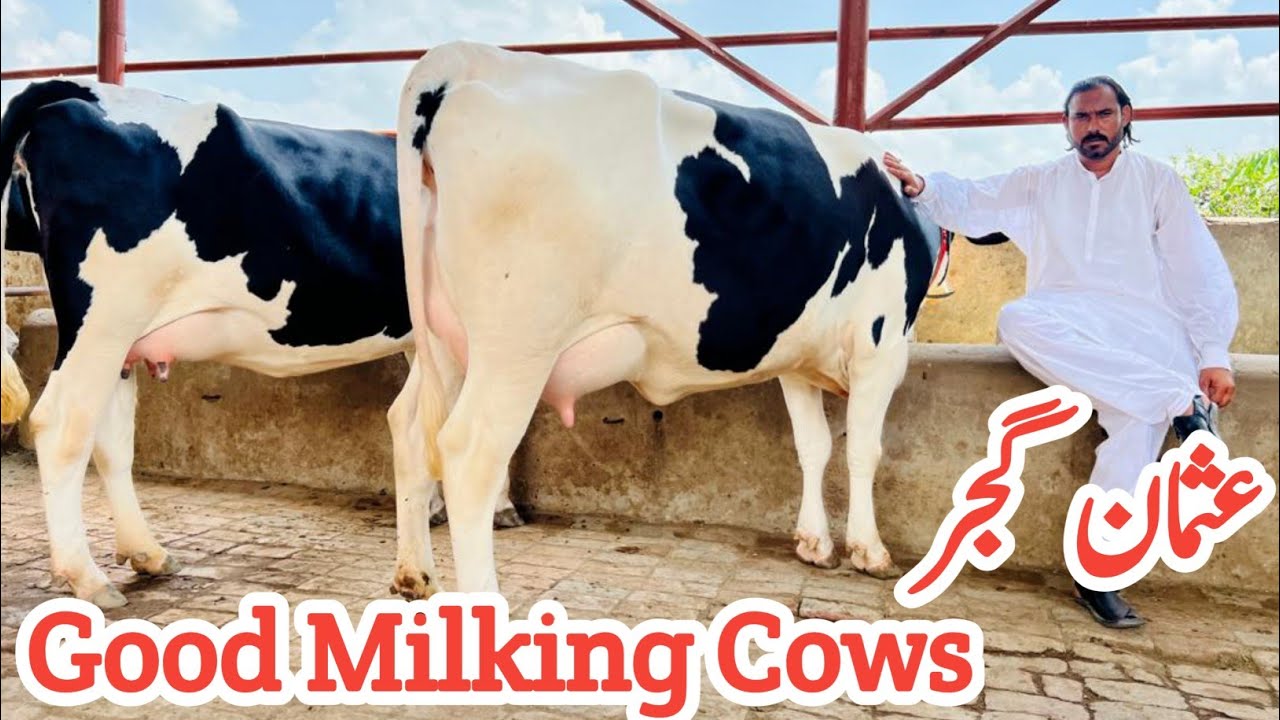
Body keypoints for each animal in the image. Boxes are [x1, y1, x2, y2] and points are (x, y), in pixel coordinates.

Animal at [0, 79, 527, 609]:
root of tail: (82, 93)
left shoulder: (429, 341)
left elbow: (416, 427)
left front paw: (420, 560)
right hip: (106, 317)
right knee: (62, 426)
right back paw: (85, 576)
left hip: (122, 339)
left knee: (109, 436)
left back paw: (147, 552)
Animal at [395, 42, 1001, 593]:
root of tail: (468, 58)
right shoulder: (882, 345)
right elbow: (863, 451)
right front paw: (869, 551)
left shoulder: (796, 359)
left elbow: (813, 447)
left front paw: (814, 543)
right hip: (517, 344)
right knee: (469, 455)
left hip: (446, 341)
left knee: (408, 428)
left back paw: (415, 575)